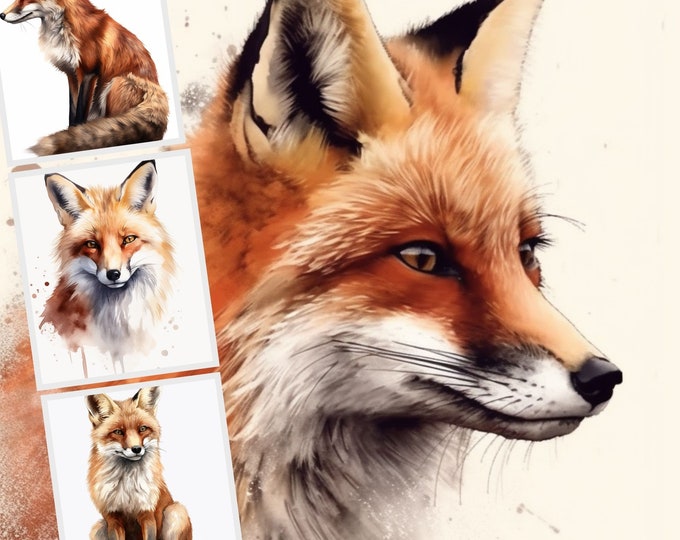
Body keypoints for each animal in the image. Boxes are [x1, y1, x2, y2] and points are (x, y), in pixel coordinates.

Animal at [0, 0, 169, 155]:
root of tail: (158, 90)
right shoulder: (72, 75)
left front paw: (75, 140)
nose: (2, 15)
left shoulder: (89, 74)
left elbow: (80, 113)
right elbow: (72, 111)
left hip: (115, 84)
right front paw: (71, 134)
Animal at [86, 386, 192, 540]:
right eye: (118, 432)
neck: (127, 485)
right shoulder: (112, 518)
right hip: (97, 527)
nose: (136, 449)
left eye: (142, 428)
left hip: (176, 511)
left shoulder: (147, 513)